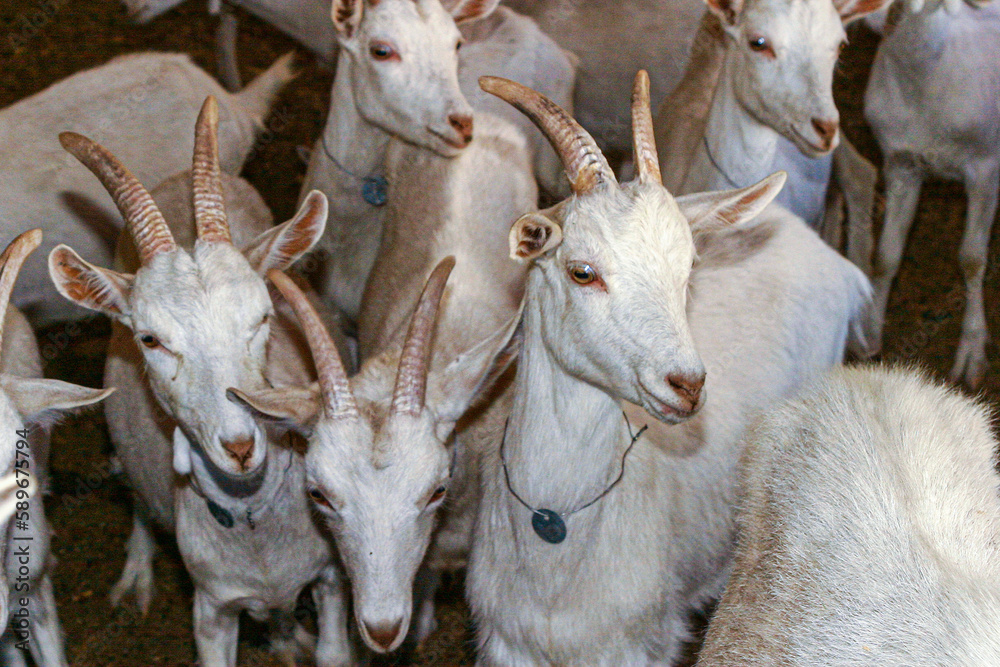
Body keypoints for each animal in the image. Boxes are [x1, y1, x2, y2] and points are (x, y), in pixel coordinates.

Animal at [47, 98, 353, 667]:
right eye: (149, 338)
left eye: (262, 316)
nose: (240, 446)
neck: (254, 524)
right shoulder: (211, 607)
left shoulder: (331, 579)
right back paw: (137, 576)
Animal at [859, 0, 999, 388]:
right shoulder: (901, 165)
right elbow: (886, 256)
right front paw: (871, 334)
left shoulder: (985, 168)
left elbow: (971, 258)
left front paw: (971, 352)